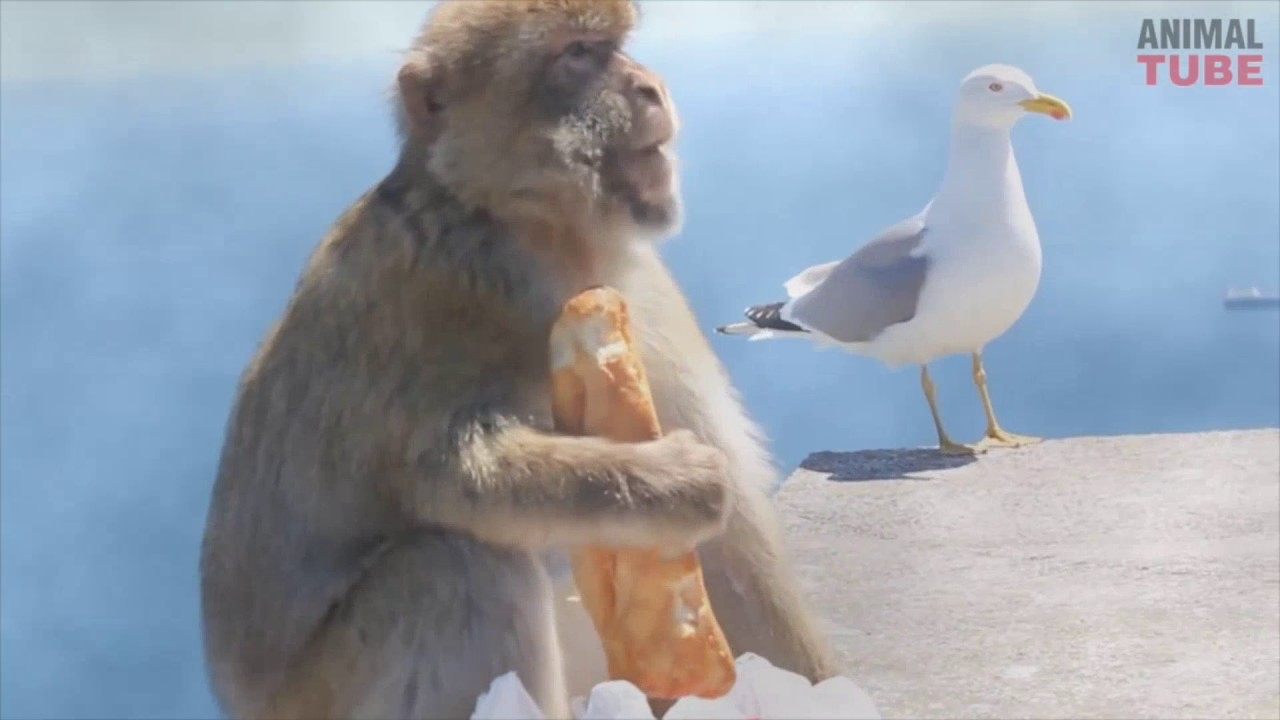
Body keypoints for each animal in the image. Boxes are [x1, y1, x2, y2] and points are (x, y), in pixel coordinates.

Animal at [198, 1, 841, 718]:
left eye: (618, 45)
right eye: (578, 54)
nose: (649, 86)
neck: (537, 226)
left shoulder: (645, 294)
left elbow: (734, 549)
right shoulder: (456, 289)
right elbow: (452, 473)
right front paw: (678, 481)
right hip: (324, 694)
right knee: (450, 571)